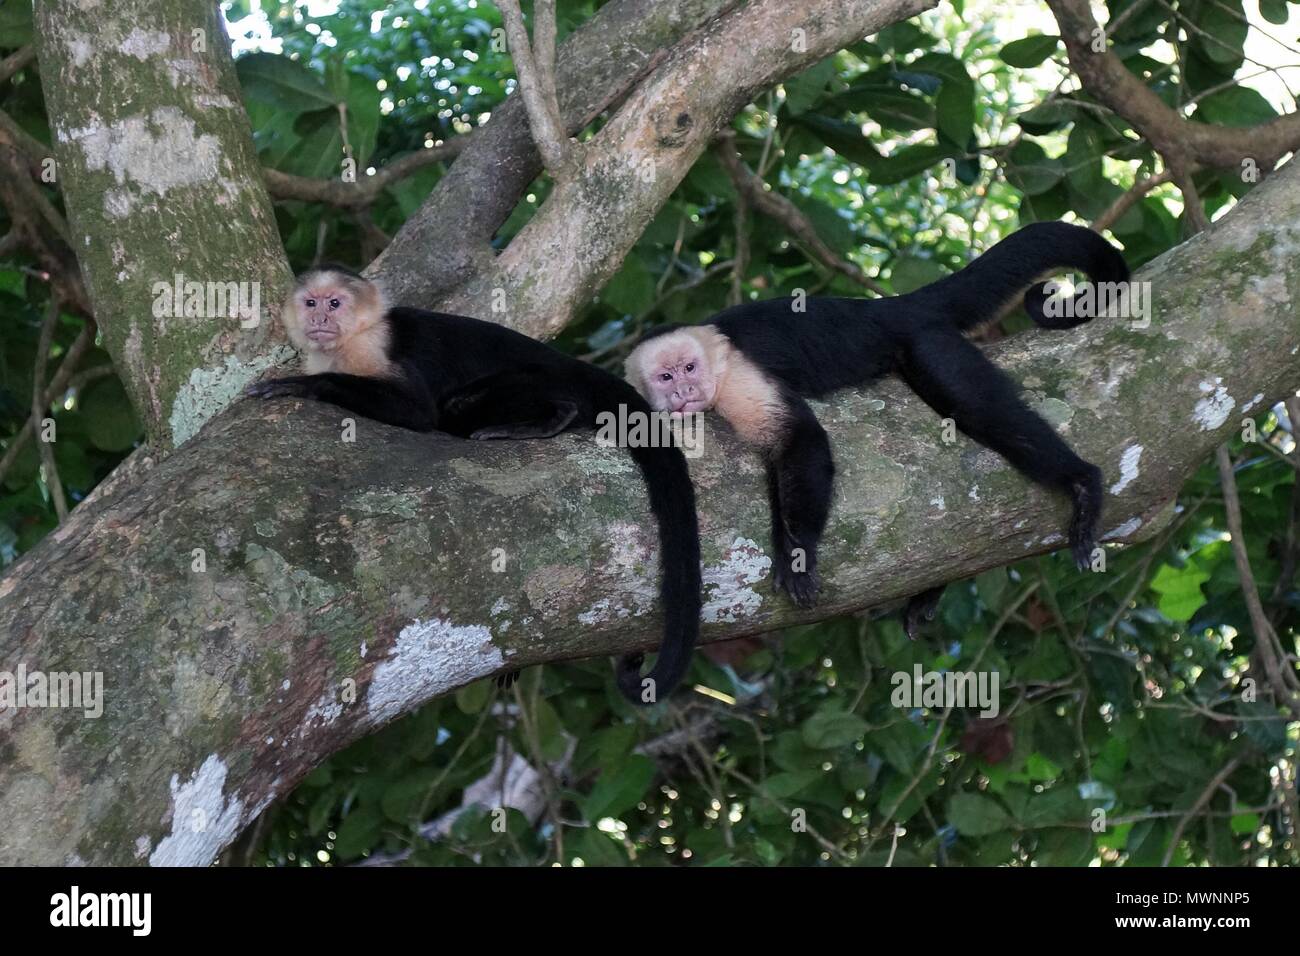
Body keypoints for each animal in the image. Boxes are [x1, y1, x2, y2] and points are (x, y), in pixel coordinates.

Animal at [246, 267, 702, 704]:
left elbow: (415, 408)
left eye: (335, 303)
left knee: (460, 408)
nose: (321, 318)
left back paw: (549, 419)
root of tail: (576, 366)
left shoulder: (372, 346)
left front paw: (301, 386)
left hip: (547, 380)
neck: (347, 344)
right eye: (311, 303)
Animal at [624, 221, 1129, 625]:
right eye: (665, 377)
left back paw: (1083, 483)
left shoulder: (734, 381)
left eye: (689, 368)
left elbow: (801, 438)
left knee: (985, 411)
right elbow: (781, 458)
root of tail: (892, 306)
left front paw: (799, 554)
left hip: (929, 343)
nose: (685, 391)